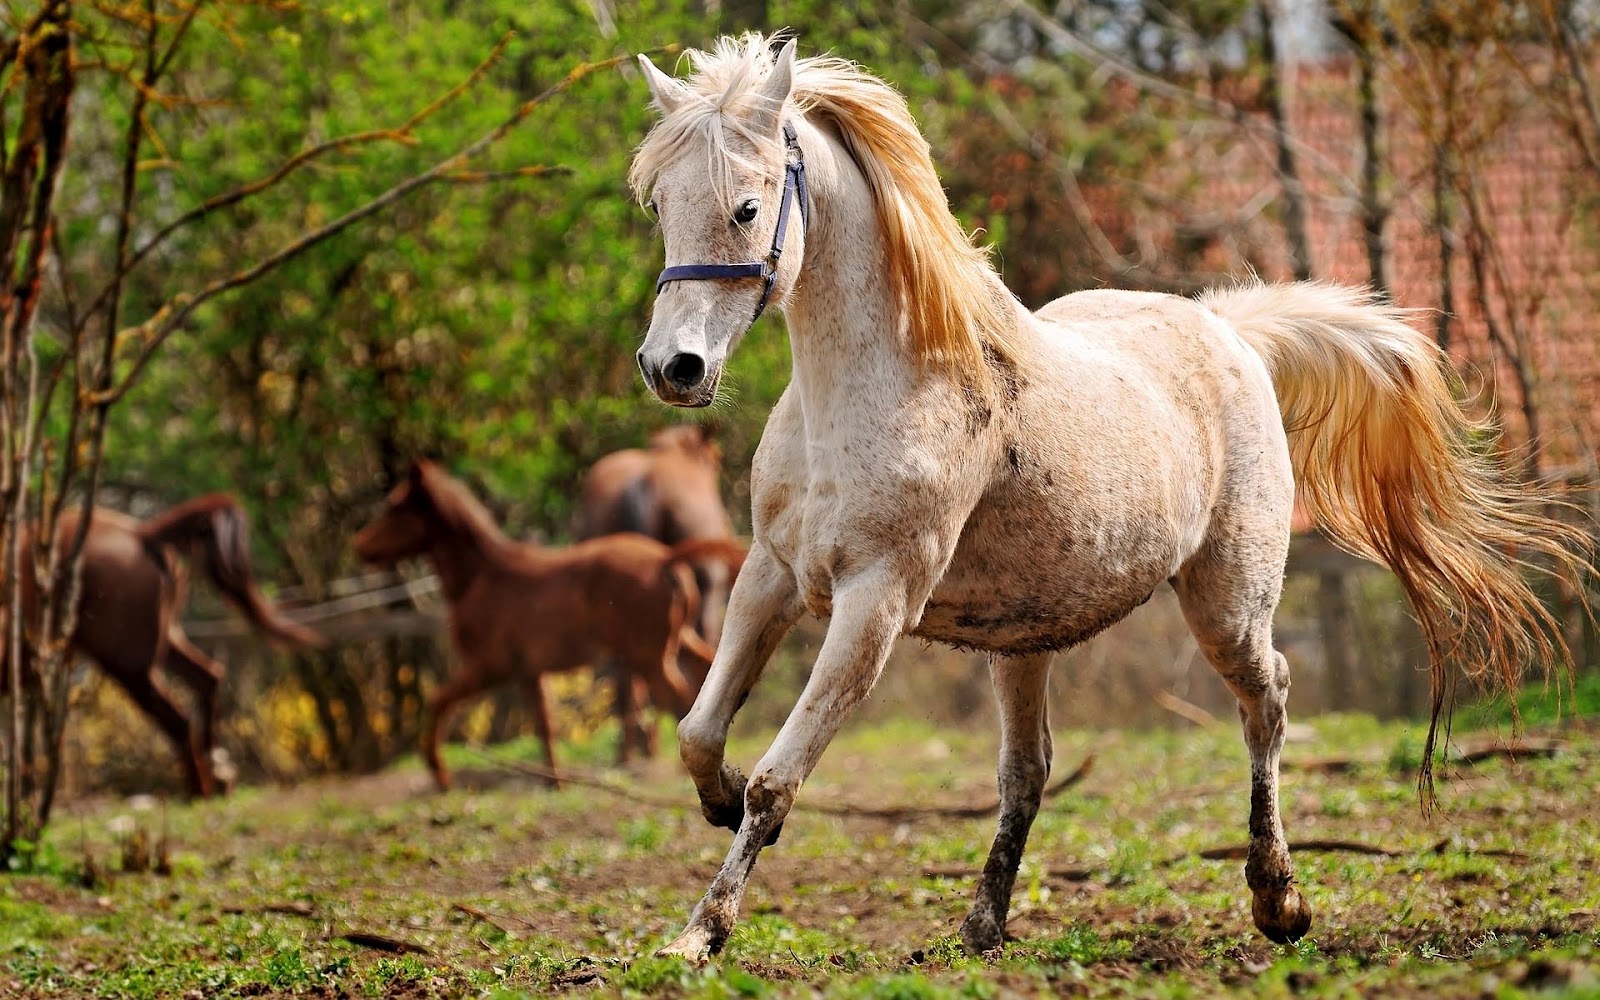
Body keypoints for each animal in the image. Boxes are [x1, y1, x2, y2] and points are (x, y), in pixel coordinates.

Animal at [5, 495, 323, 797]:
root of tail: (143, 534)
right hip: (164, 642)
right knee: (207, 678)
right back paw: (218, 772)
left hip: (128, 664)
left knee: (178, 720)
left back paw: (199, 791)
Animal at [352, 460, 716, 790]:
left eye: (395, 507)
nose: (359, 546)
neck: (482, 578)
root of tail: (665, 559)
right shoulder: (528, 672)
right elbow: (544, 724)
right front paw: (555, 781)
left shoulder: (487, 668)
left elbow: (439, 700)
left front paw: (440, 775)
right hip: (677, 641)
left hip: (647, 657)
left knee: (680, 699)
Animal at [627, 34, 1590, 959]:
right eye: (661, 205)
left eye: (747, 207)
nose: (675, 368)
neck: (876, 389)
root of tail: (1229, 332)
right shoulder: (772, 575)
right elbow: (699, 732)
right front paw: (713, 805)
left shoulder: (875, 603)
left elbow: (777, 780)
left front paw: (699, 934)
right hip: (1022, 641)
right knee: (1028, 770)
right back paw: (982, 928)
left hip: (1227, 606)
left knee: (1268, 701)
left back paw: (1278, 900)